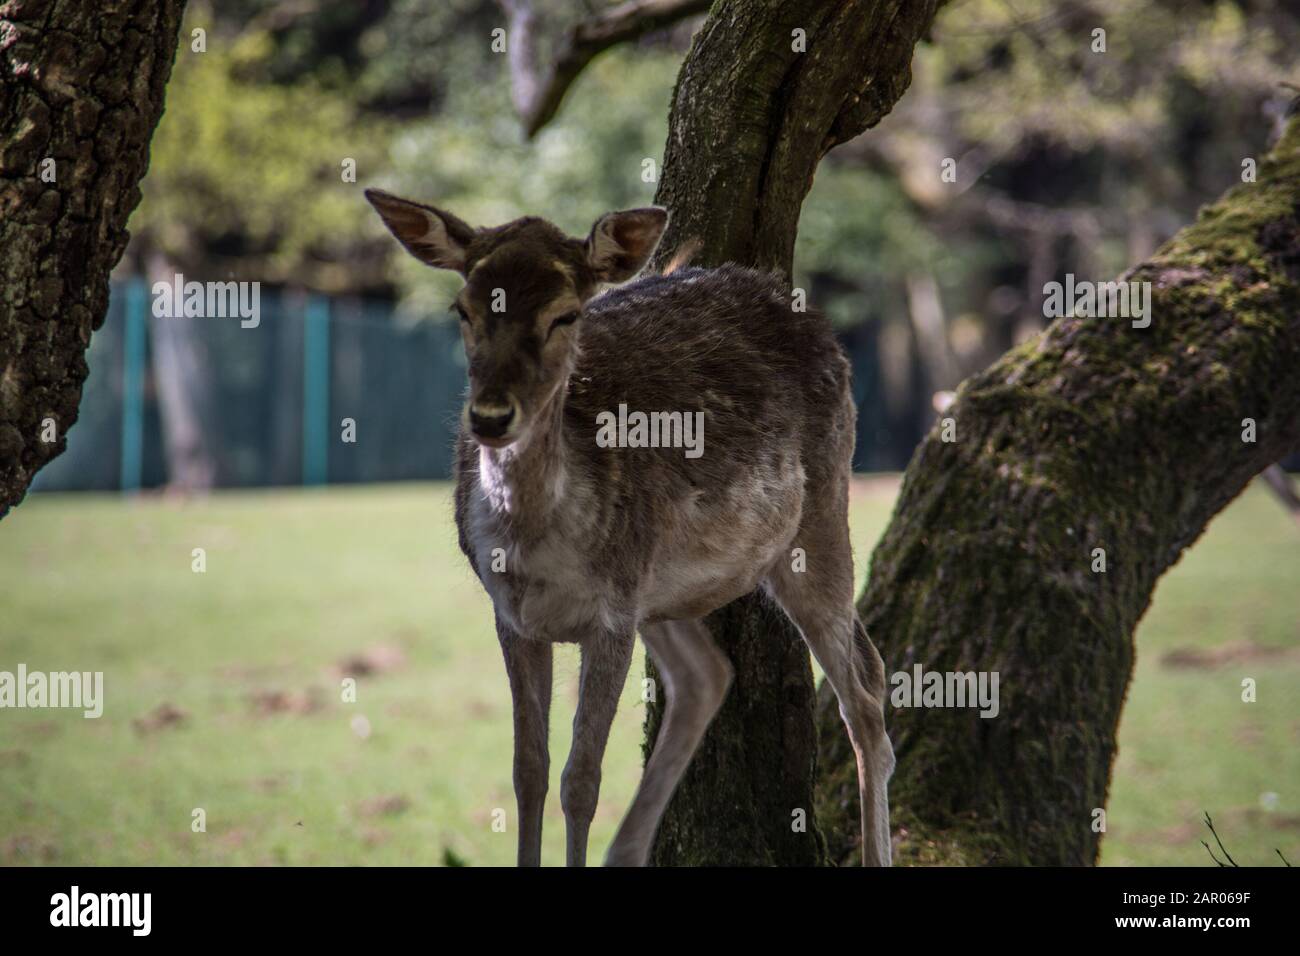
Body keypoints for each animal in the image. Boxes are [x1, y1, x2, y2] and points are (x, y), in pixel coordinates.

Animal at [365, 188, 895, 867]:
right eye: (464, 308)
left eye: (565, 315)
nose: (488, 417)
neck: (533, 544)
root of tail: (810, 313)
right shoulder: (513, 615)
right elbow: (528, 771)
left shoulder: (611, 614)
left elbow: (581, 779)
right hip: (661, 585)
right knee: (710, 674)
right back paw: (626, 851)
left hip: (821, 509)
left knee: (864, 692)